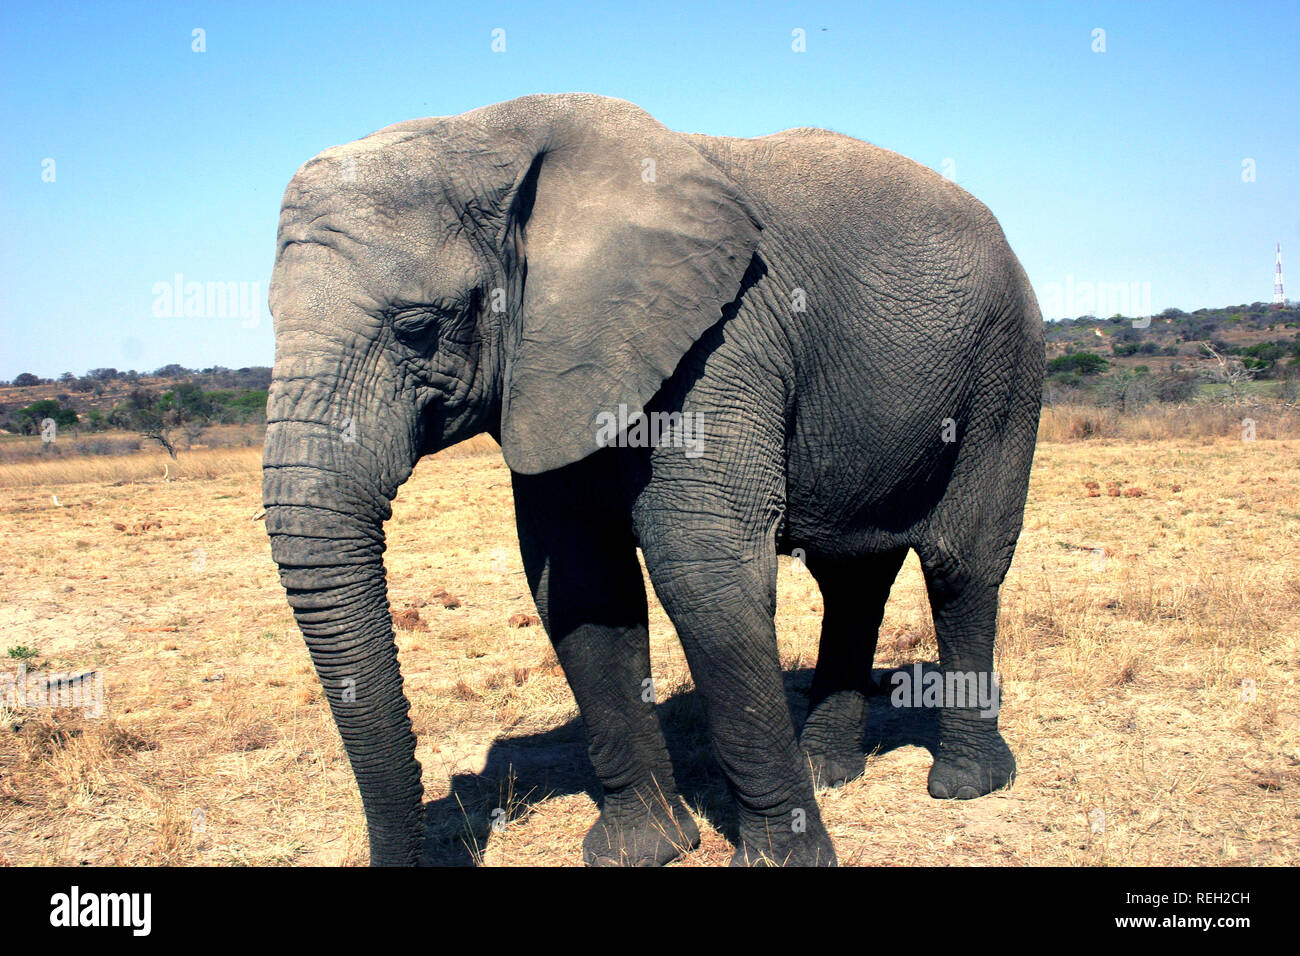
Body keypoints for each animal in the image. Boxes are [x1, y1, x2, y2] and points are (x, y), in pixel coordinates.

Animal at [262, 93, 1044, 867]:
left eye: (418, 327)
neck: (495, 137)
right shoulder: (556, 372)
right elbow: (581, 586)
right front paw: (641, 851)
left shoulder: (720, 343)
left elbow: (701, 572)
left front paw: (780, 862)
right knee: (852, 575)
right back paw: (828, 770)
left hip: (1005, 366)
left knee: (960, 564)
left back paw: (966, 784)